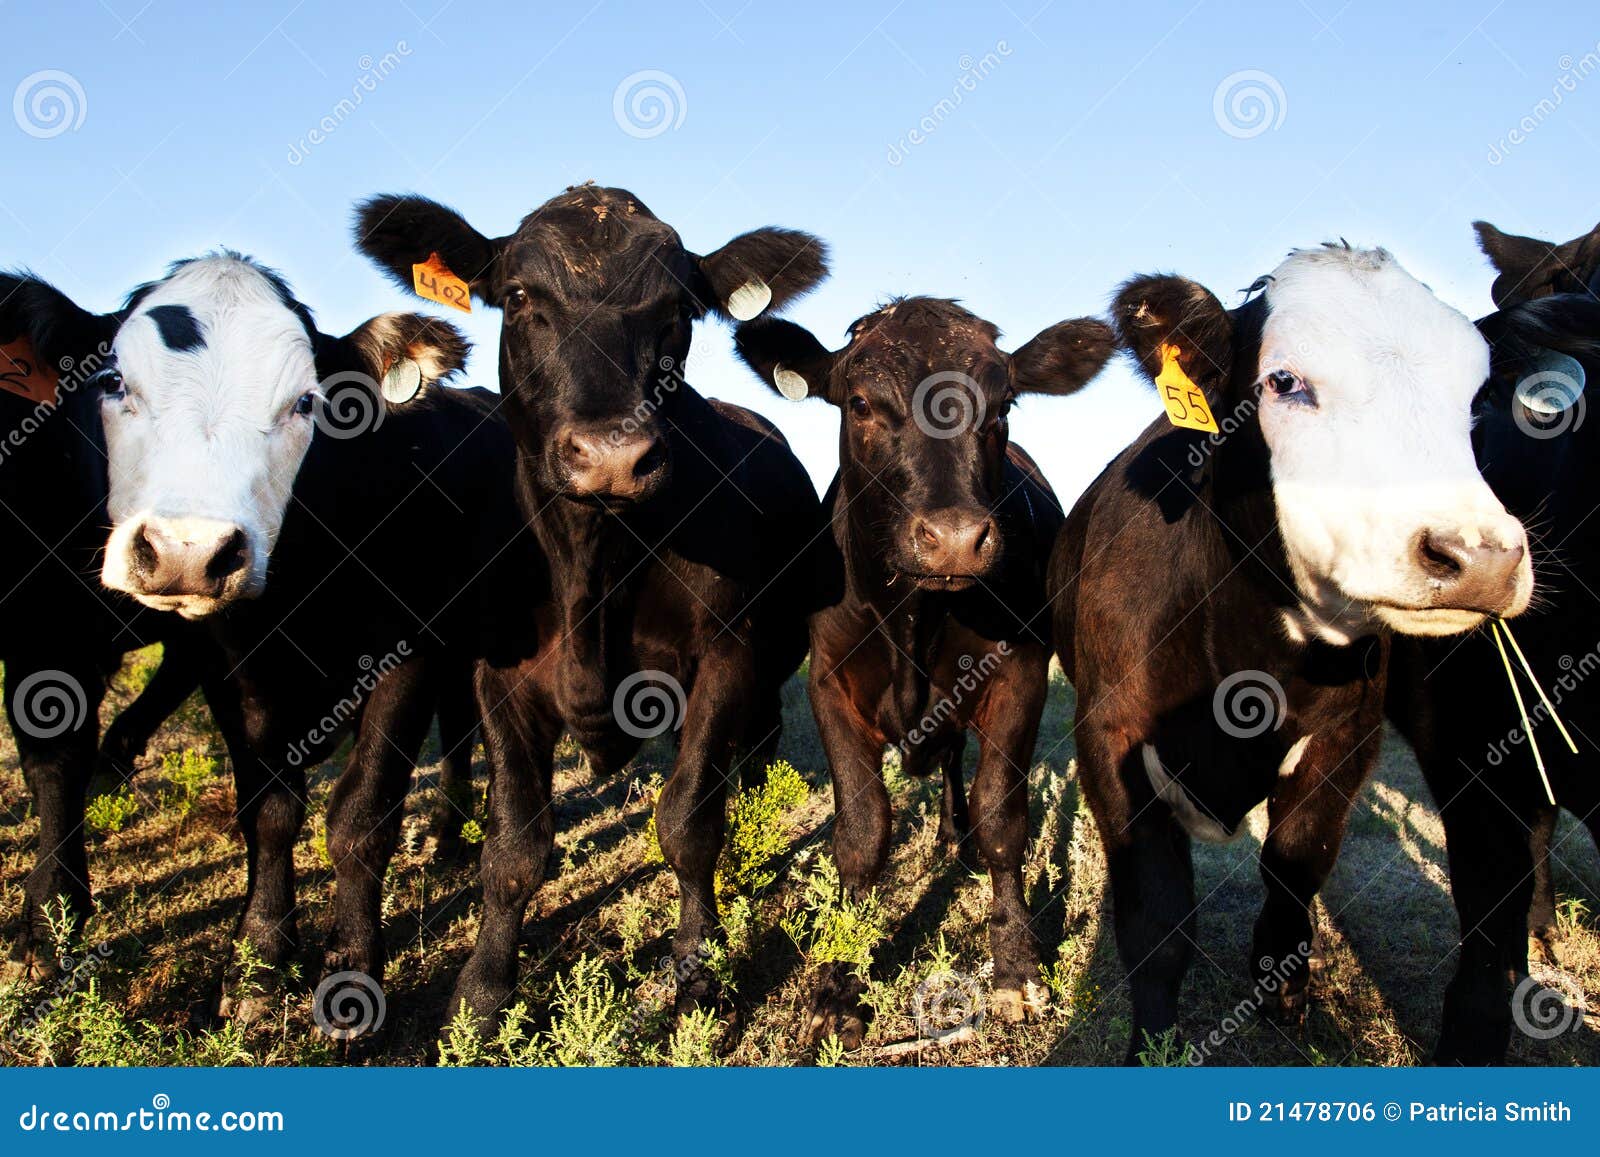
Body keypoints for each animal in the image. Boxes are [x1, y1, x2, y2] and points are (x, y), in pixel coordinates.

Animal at [5, 253, 518, 1028]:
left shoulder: (411, 652)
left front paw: (350, 971)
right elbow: (267, 810)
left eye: (307, 402)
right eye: (113, 383)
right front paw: (259, 958)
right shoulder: (222, 665)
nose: (187, 551)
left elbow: (363, 812)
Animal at [353, 183, 828, 1031]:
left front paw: (699, 967)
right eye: (517, 296)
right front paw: (483, 993)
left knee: (756, 744)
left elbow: (689, 822)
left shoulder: (726, 655)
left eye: (677, 309)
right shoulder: (498, 677)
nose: (611, 455)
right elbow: (515, 847)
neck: (590, 564)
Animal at [733, 297, 1113, 1046]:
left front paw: (1017, 967)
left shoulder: (1021, 675)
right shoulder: (828, 684)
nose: (957, 539)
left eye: (1003, 404)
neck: (914, 613)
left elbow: (1002, 818)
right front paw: (836, 982)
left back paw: (950, 836)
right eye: (859, 402)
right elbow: (862, 830)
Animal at [1051, 244, 1533, 1062]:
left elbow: (1291, 878)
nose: (1479, 556)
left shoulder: (1346, 737)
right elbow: (1156, 924)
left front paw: (1286, 1006)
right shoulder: (1108, 738)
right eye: (1285, 382)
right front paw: (1153, 1042)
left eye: (1473, 399)